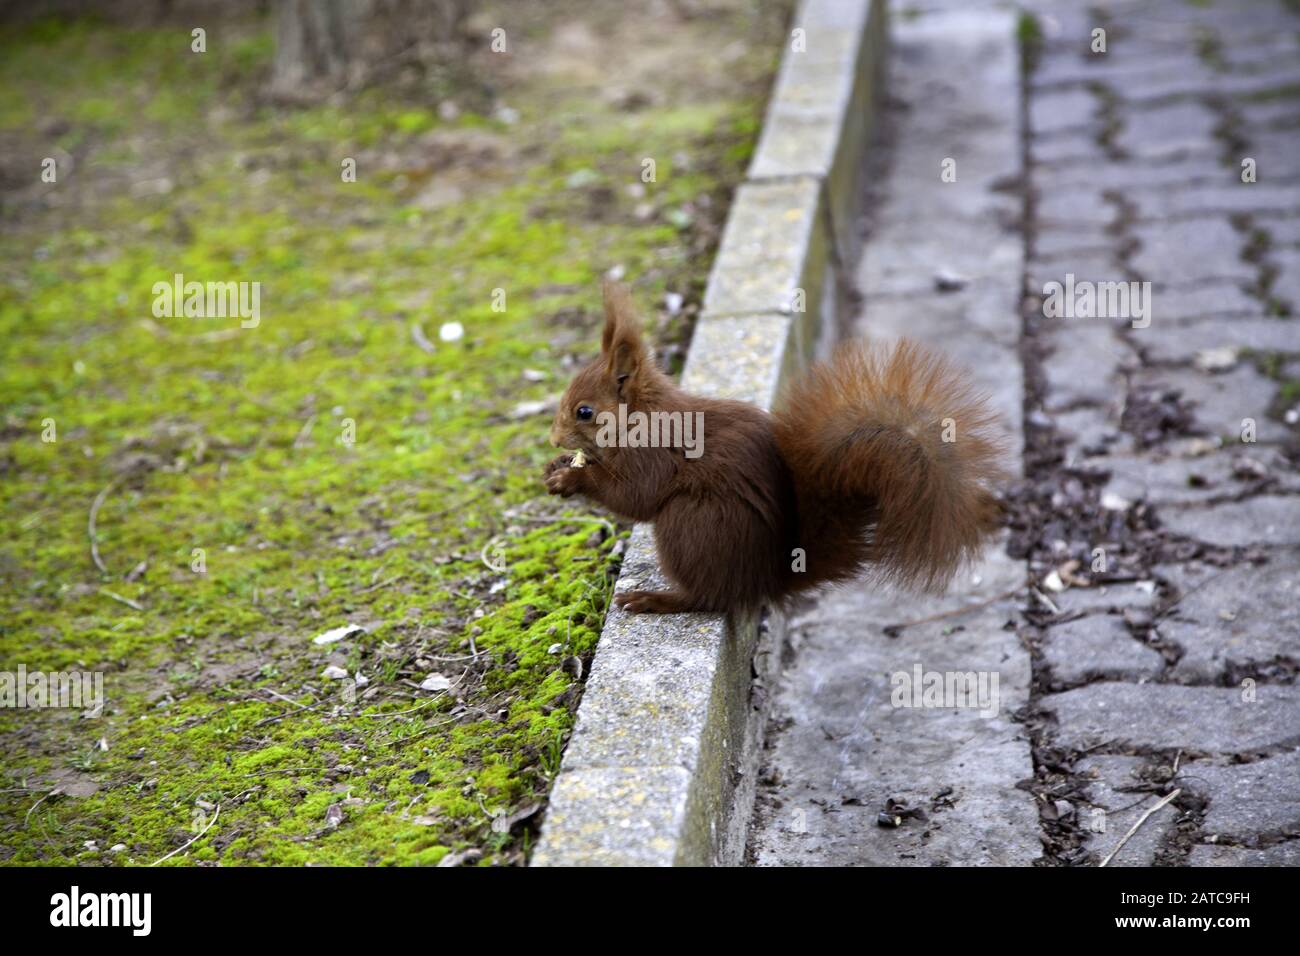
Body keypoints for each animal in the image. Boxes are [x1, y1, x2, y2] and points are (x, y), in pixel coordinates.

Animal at [544, 281, 1007, 615]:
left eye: (584, 411)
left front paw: (572, 478)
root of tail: (765, 581)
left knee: (711, 599)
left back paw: (657, 599)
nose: (553, 439)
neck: (641, 416)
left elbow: (635, 496)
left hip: (692, 522)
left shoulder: (653, 455)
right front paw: (560, 464)